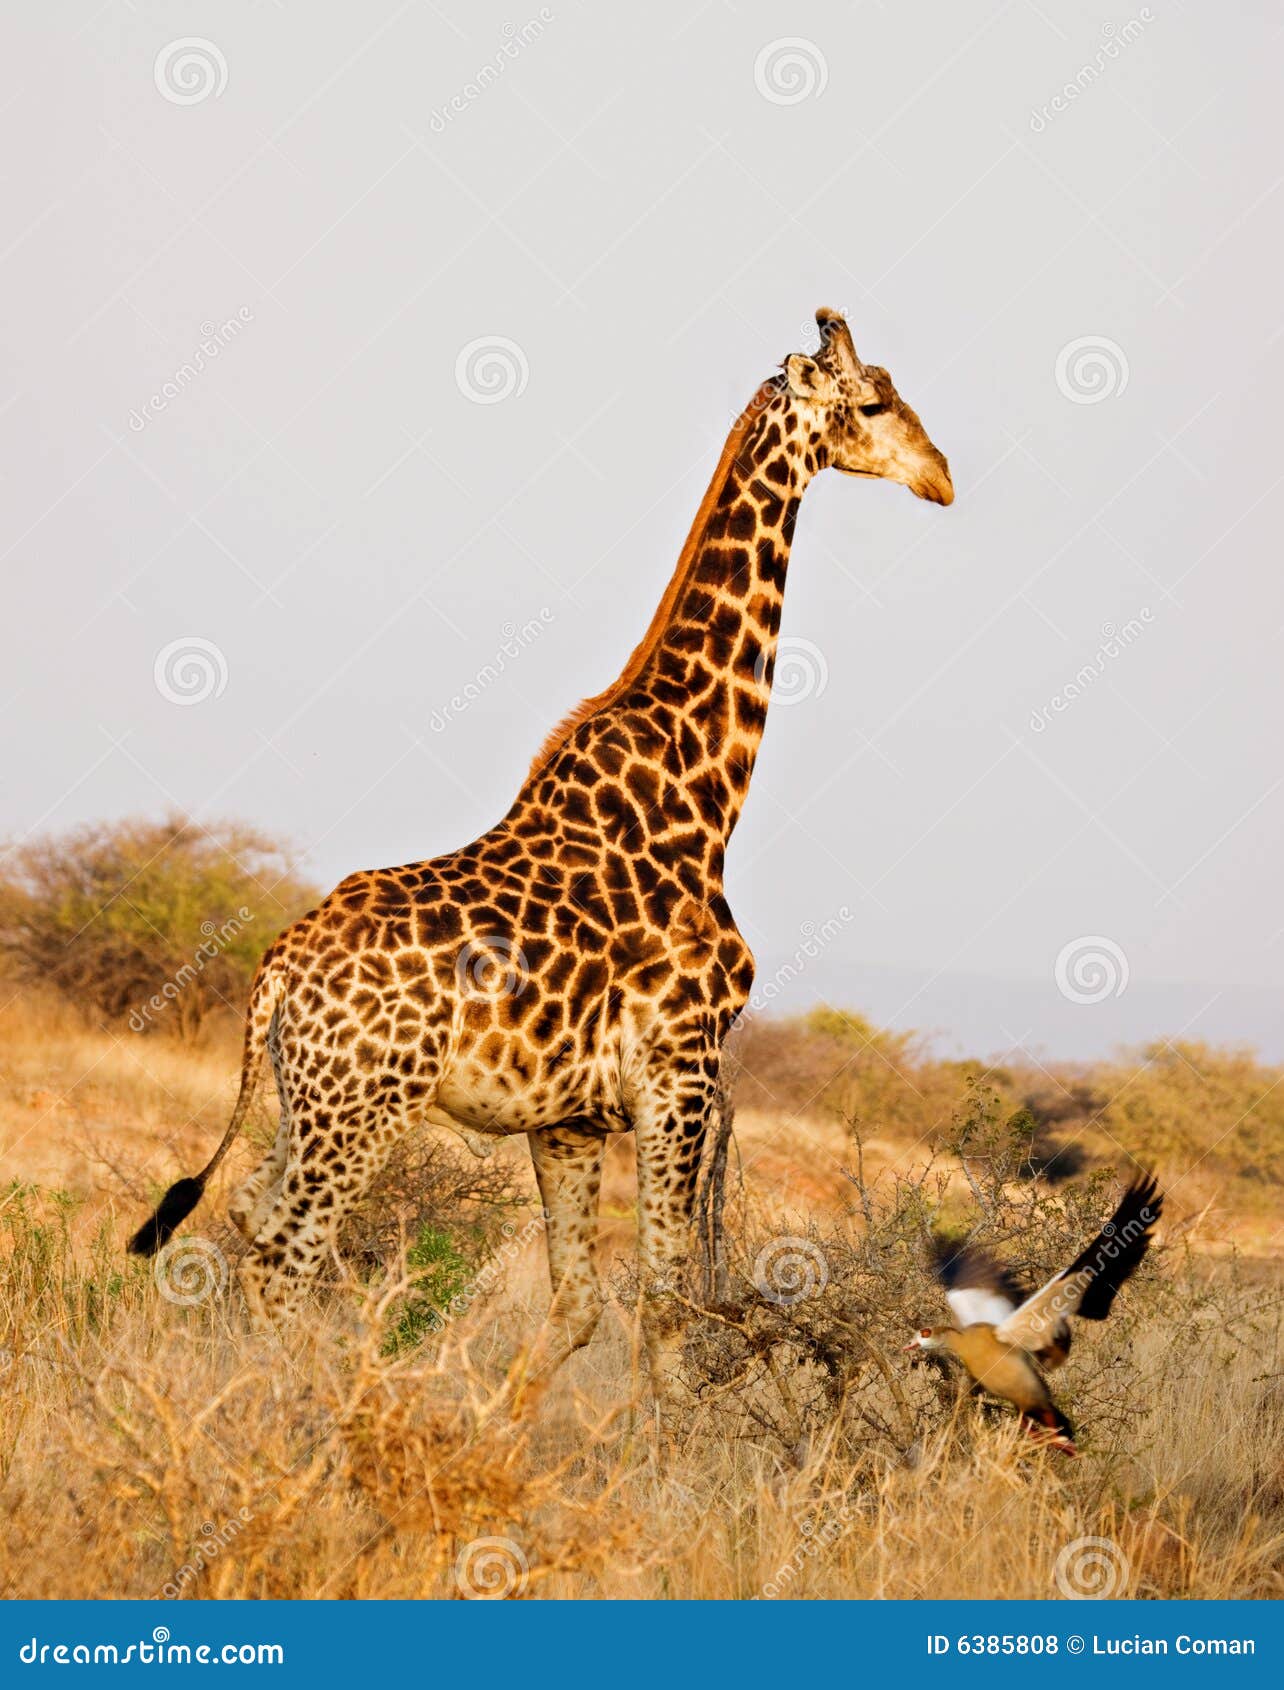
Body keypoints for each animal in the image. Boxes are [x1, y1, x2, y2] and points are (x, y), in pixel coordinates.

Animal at [128, 308, 953, 1408]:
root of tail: (275, 973)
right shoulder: (681, 1074)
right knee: (285, 1256)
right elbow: (666, 1303)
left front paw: (508, 1431)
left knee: (250, 1220)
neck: (706, 793)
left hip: (307, 1099)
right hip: (365, 1105)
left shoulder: (571, 1118)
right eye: (876, 400)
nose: (942, 475)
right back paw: (287, 1408)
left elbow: (581, 1305)